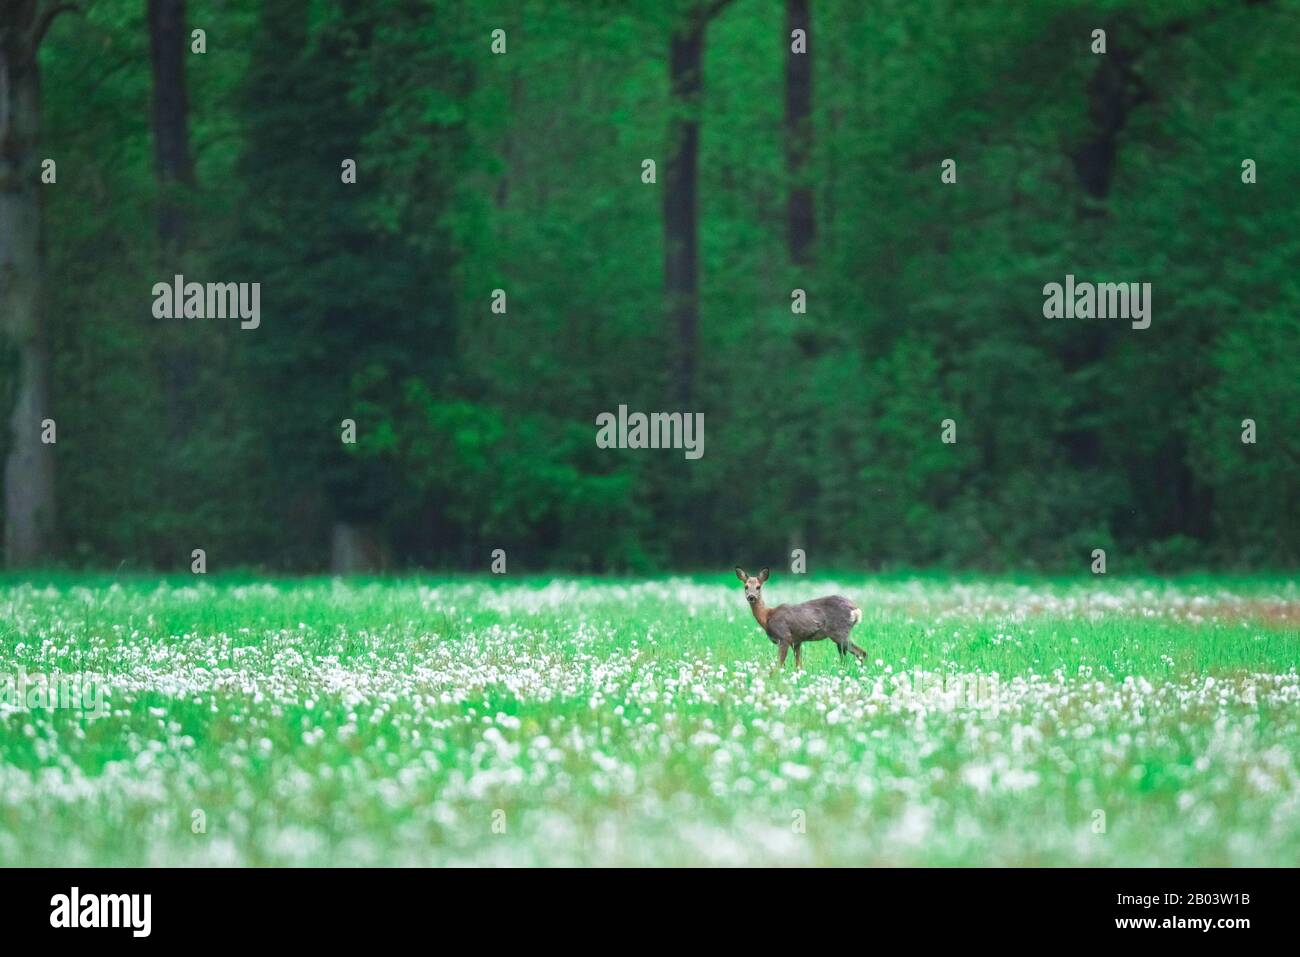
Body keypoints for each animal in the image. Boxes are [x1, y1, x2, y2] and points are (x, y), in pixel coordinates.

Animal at [734, 566, 866, 670]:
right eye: (746, 586)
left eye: (758, 587)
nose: (751, 597)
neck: (767, 617)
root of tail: (856, 610)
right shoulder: (797, 641)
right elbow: (798, 665)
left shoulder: (784, 636)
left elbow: (779, 665)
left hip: (839, 632)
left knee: (862, 653)